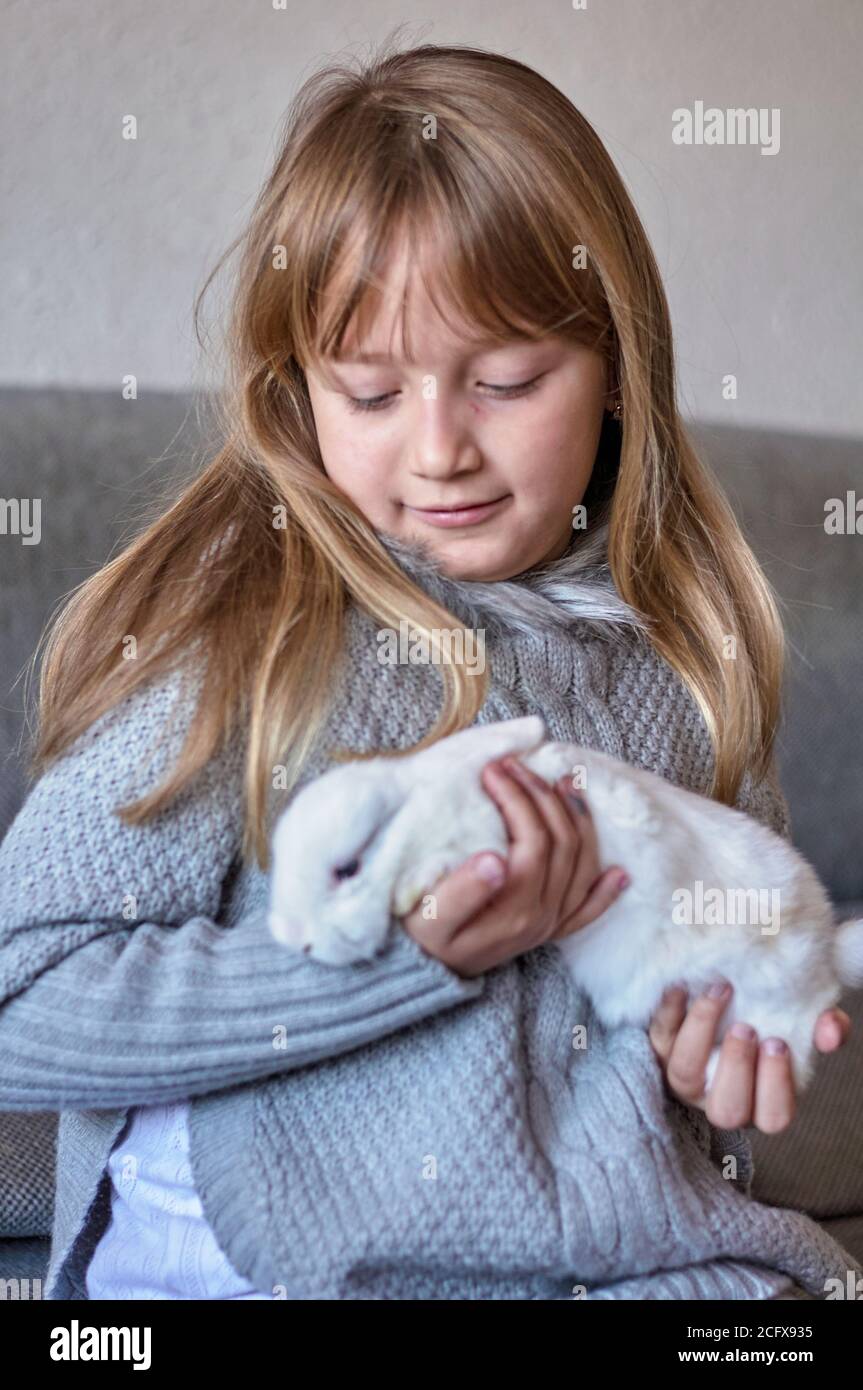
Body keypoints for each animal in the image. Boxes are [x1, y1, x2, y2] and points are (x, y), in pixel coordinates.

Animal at [268, 714, 863, 1102]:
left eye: (347, 869)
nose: (295, 938)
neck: (419, 817)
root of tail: (828, 948)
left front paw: (412, 888)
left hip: (778, 998)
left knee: (793, 1049)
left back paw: (722, 1071)